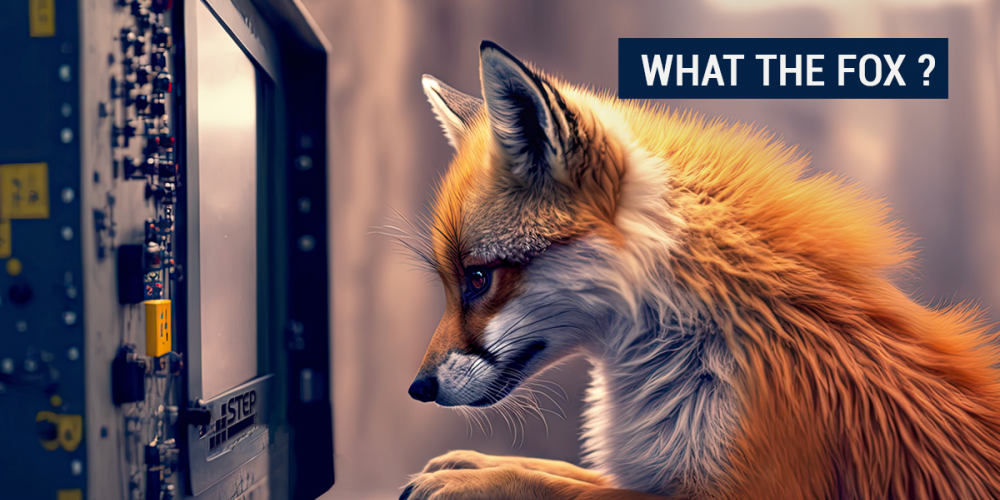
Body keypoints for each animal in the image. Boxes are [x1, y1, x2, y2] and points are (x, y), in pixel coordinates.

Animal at [399, 40, 1000, 500]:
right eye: (455, 282)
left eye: (479, 278)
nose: (418, 388)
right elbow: (572, 473)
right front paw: (472, 464)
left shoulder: (747, 491)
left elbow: (565, 488)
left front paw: (482, 481)